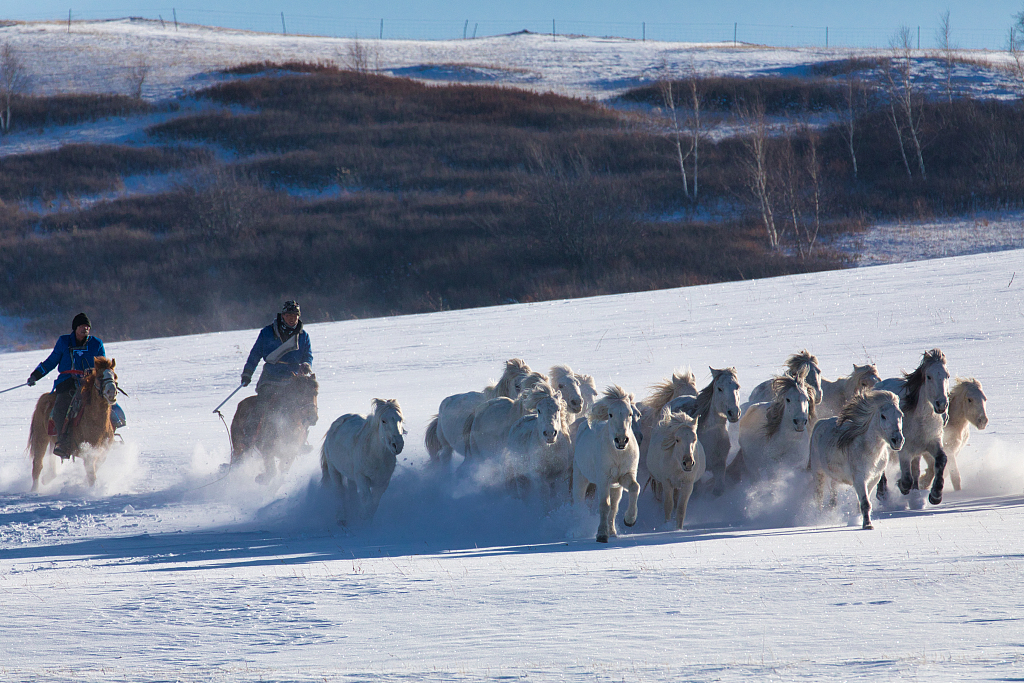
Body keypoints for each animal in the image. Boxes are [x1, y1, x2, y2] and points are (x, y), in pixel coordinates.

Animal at [27, 356, 121, 490]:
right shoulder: (87, 453)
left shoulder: (102, 451)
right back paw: (34, 490)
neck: (95, 422)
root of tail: (43, 398)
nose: (111, 392)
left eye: (115, 376)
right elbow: (91, 474)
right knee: (37, 465)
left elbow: (95, 468)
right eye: (99, 377)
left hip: (52, 440)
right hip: (40, 437)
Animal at [572, 385, 641, 543]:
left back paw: (613, 532)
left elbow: (635, 487)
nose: (621, 440)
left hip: (616, 487)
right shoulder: (603, 480)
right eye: (610, 414)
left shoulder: (625, 476)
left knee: (614, 507)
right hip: (580, 478)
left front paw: (629, 520)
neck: (618, 453)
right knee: (579, 502)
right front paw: (602, 535)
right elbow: (604, 505)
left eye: (630, 414)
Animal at [808, 390, 904, 530]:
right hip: (818, 473)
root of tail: (820, 423)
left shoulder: (874, 479)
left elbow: (863, 503)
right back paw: (818, 518)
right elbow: (865, 503)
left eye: (900, 415)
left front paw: (859, 521)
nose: (897, 440)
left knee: (833, 495)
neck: (869, 451)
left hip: (835, 476)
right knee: (818, 497)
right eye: (883, 416)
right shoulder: (859, 479)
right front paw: (868, 525)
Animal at [875, 349, 950, 506]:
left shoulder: (932, 442)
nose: (942, 404)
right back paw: (883, 493)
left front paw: (935, 495)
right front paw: (901, 485)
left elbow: (941, 460)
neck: (920, 421)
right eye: (928, 376)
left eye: (947, 375)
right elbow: (906, 480)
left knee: (915, 472)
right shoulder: (904, 450)